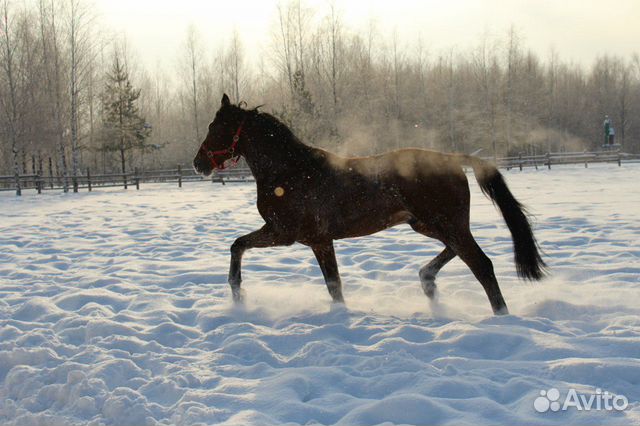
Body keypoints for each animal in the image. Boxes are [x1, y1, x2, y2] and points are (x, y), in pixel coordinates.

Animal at [193, 94, 546, 315]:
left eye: (216, 128)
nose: (198, 164)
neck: (290, 171)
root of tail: (452, 159)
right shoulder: (306, 238)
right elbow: (241, 246)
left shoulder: (291, 235)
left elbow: (330, 283)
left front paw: (237, 292)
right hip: (428, 224)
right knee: (457, 254)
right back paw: (427, 280)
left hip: (447, 224)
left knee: (482, 265)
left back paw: (501, 316)